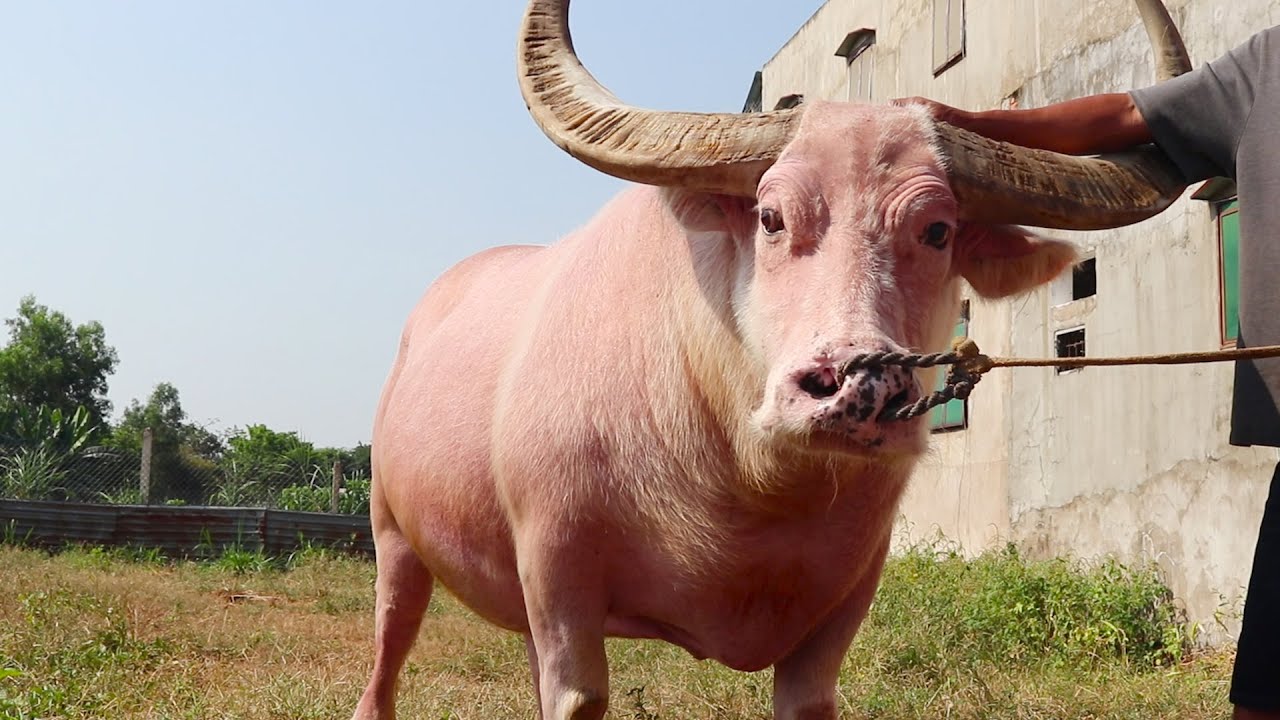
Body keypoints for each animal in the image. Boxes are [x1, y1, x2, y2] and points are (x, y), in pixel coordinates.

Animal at [352, 1, 1190, 718]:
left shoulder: (845, 604)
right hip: (393, 535)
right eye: (770, 216)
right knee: (388, 647)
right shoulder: (558, 575)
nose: (858, 387)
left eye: (938, 230)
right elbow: (579, 696)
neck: (749, 484)